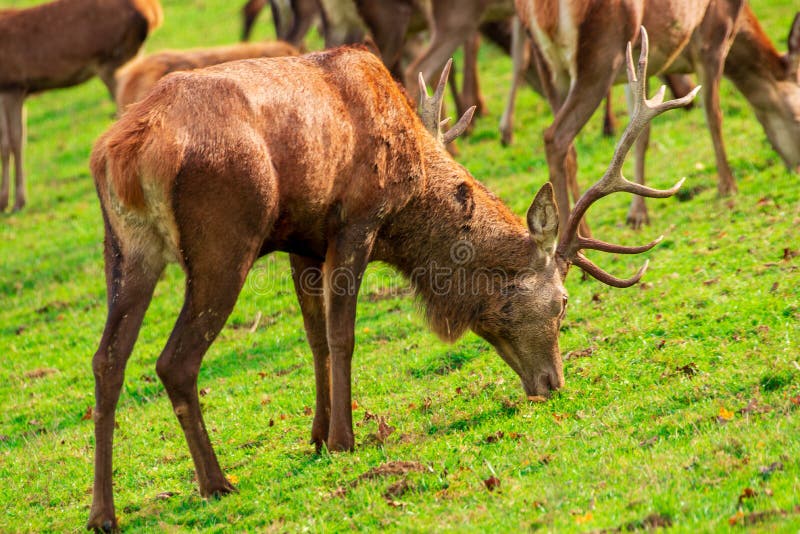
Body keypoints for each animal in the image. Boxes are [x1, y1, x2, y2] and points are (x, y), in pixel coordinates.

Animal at [0, 0, 162, 213]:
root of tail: (153, 13)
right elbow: (5, 143)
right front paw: (3, 202)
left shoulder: (13, 85)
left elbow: (16, 141)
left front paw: (19, 201)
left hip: (111, 61)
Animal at [516, 0, 800, 230]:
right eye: (798, 118)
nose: (795, 167)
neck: (739, 20)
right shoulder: (713, 40)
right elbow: (713, 116)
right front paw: (728, 187)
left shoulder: (642, 68)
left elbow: (640, 138)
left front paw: (638, 215)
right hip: (600, 55)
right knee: (555, 136)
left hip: (549, 68)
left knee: (570, 149)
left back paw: (582, 235)